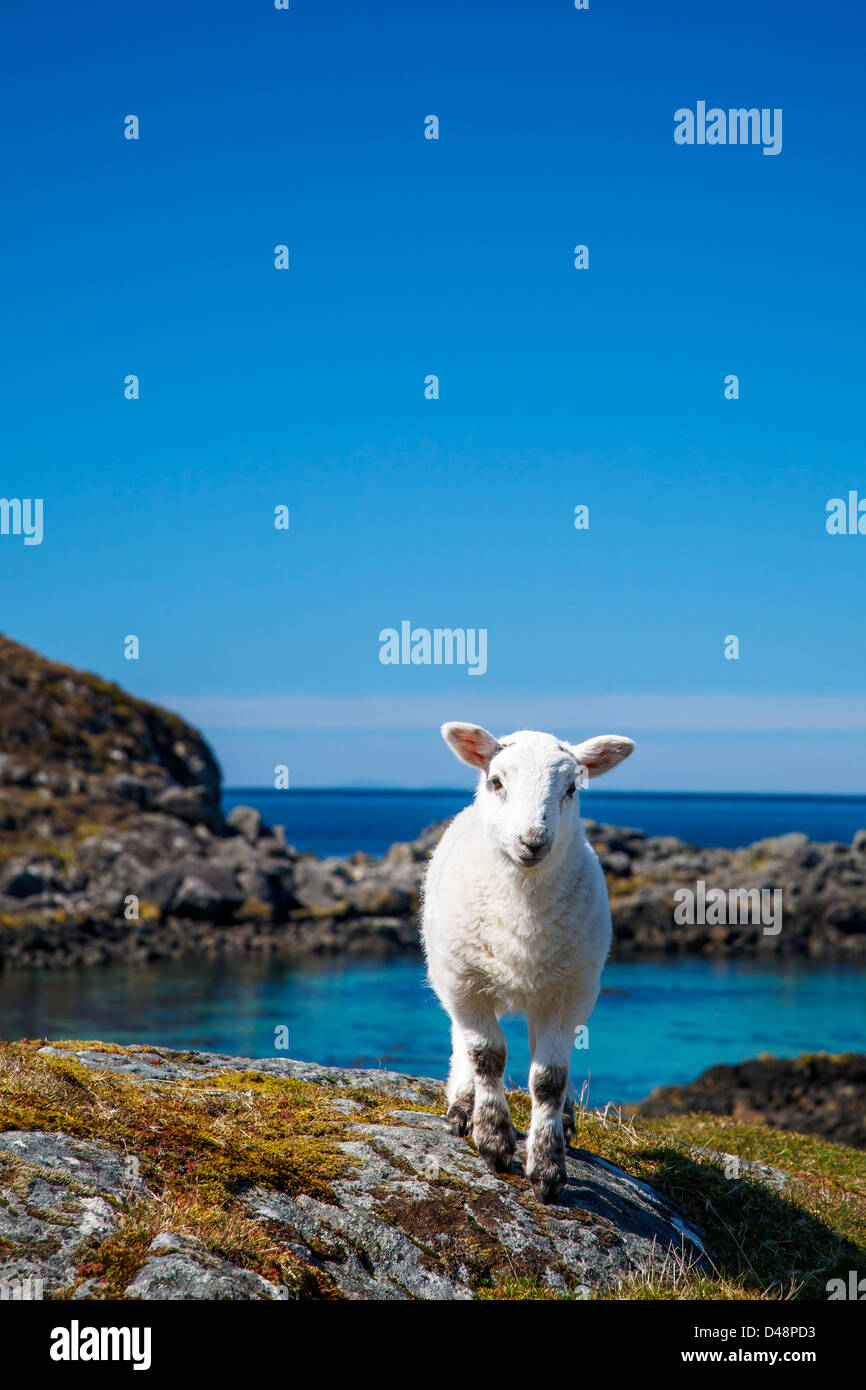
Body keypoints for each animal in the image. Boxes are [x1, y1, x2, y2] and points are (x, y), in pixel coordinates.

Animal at [421, 722, 634, 1203]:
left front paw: (548, 1166)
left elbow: (548, 1078)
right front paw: (493, 1141)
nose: (533, 842)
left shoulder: (571, 992)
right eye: (497, 782)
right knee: (462, 1038)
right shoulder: (464, 980)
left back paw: (566, 1118)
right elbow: (487, 1056)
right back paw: (462, 1105)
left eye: (572, 787)